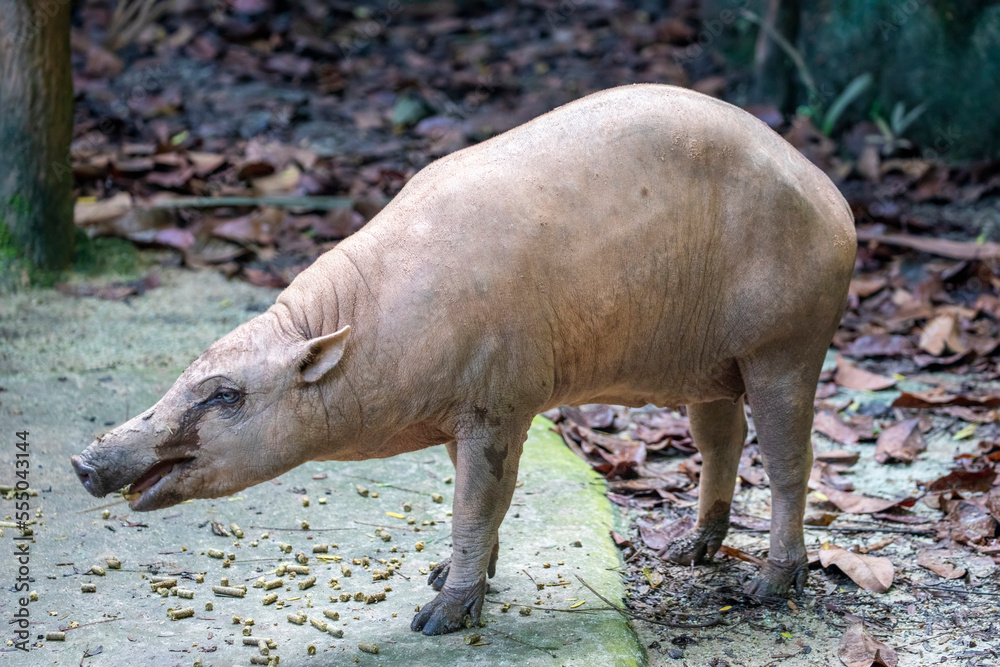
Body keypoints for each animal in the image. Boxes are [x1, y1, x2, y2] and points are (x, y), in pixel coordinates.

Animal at [72, 84, 856, 635]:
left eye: (225, 395)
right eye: (189, 374)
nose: (83, 461)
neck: (369, 332)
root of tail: (835, 199)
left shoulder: (499, 405)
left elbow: (476, 503)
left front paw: (441, 614)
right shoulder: (467, 414)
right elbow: (482, 499)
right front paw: (454, 575)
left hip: (785, 347)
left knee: (790, 460)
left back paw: (768, 585)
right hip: (709, 367)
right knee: (720, 439)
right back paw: (689, 551)